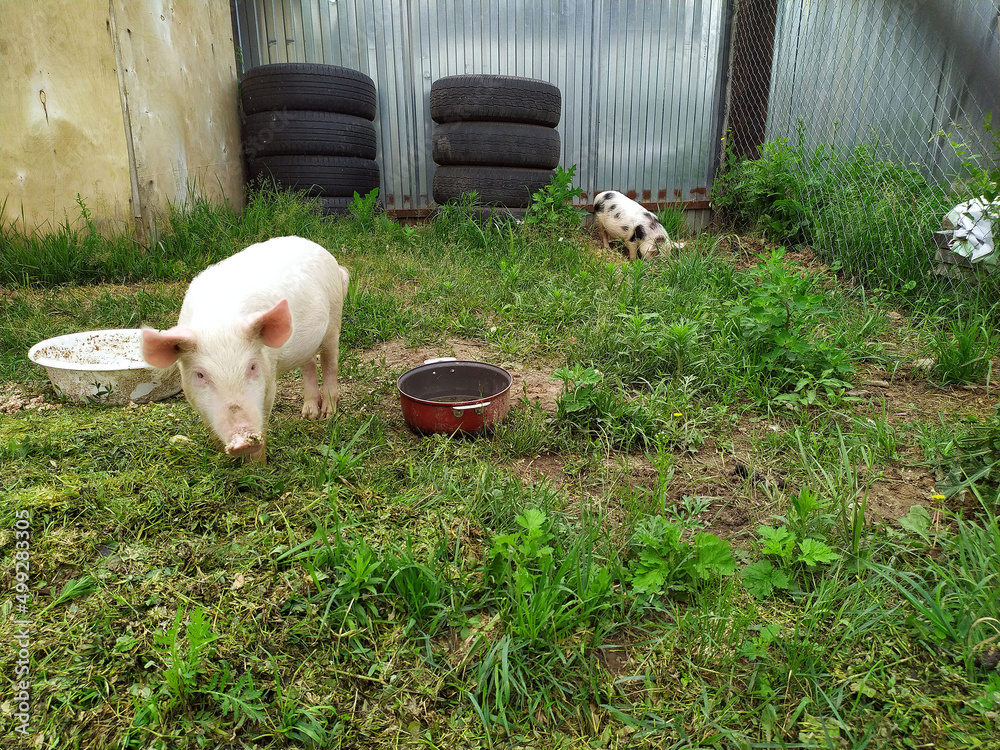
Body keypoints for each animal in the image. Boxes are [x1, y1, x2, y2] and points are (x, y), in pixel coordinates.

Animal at [141, 236, 349, 463]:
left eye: (252, 367)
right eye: (200, 375)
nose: (241, 441)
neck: (218, 323)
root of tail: (324, 253)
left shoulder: (269, 378)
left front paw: (257, 466)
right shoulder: (194, 397)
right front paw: (227, 460)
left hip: (334, 321)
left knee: (330, 364)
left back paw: (327, 414)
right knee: (309, 364)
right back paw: (308, 415)